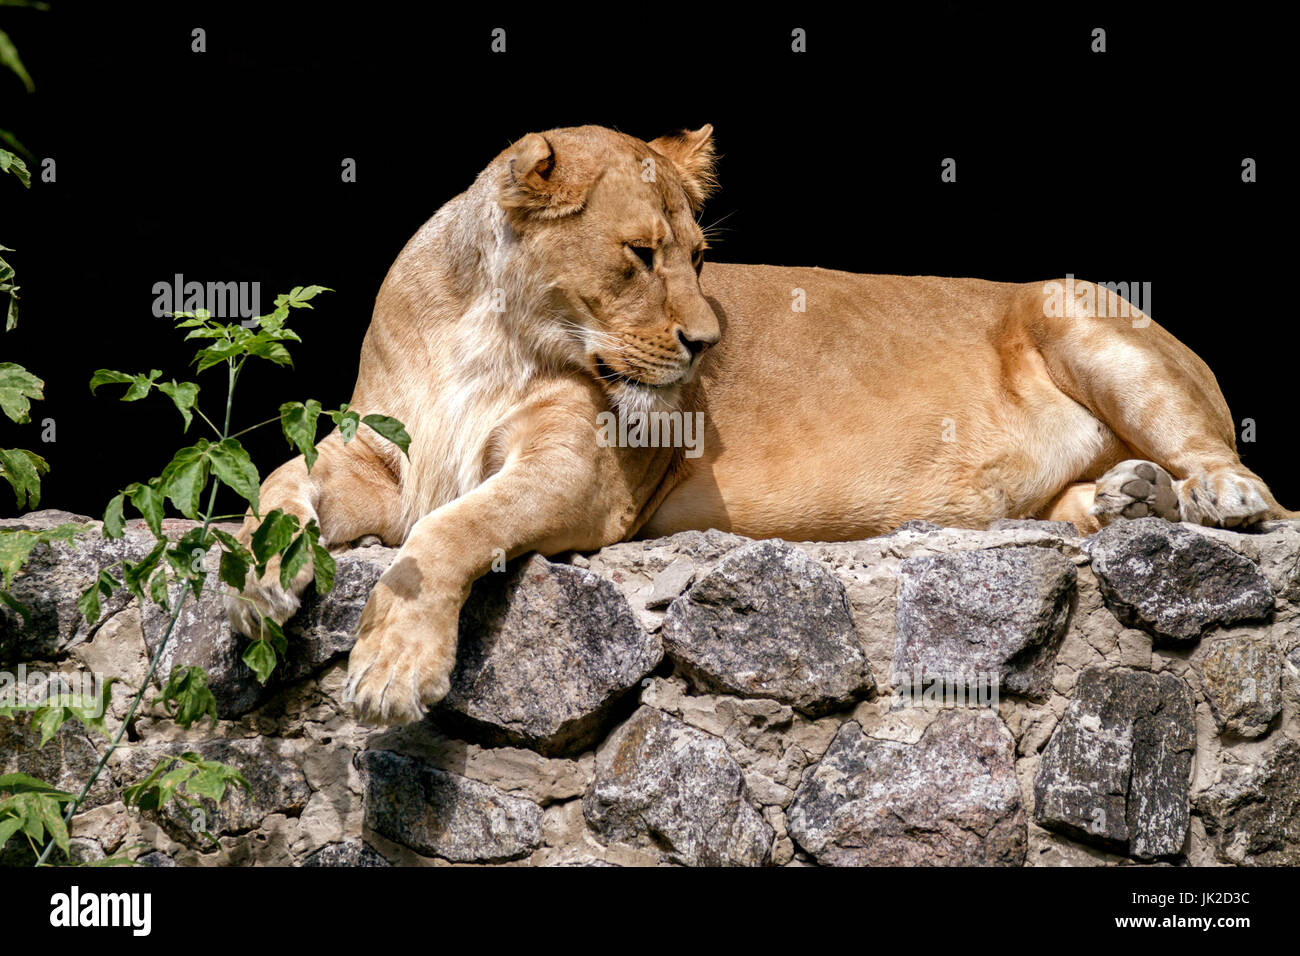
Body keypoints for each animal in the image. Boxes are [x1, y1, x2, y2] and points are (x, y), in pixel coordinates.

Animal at [227, 123, 1294, 724]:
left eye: (701, 255)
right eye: (640, 253)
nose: (707, 343)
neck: (492, 325)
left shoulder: (582, 479)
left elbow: (454, 528)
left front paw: (391, 670)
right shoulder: (378, 455)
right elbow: (278, 485)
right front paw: (250, 585)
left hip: (1082, 310)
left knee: (1235, 467)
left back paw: (1213, 494)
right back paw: (1126, 499)